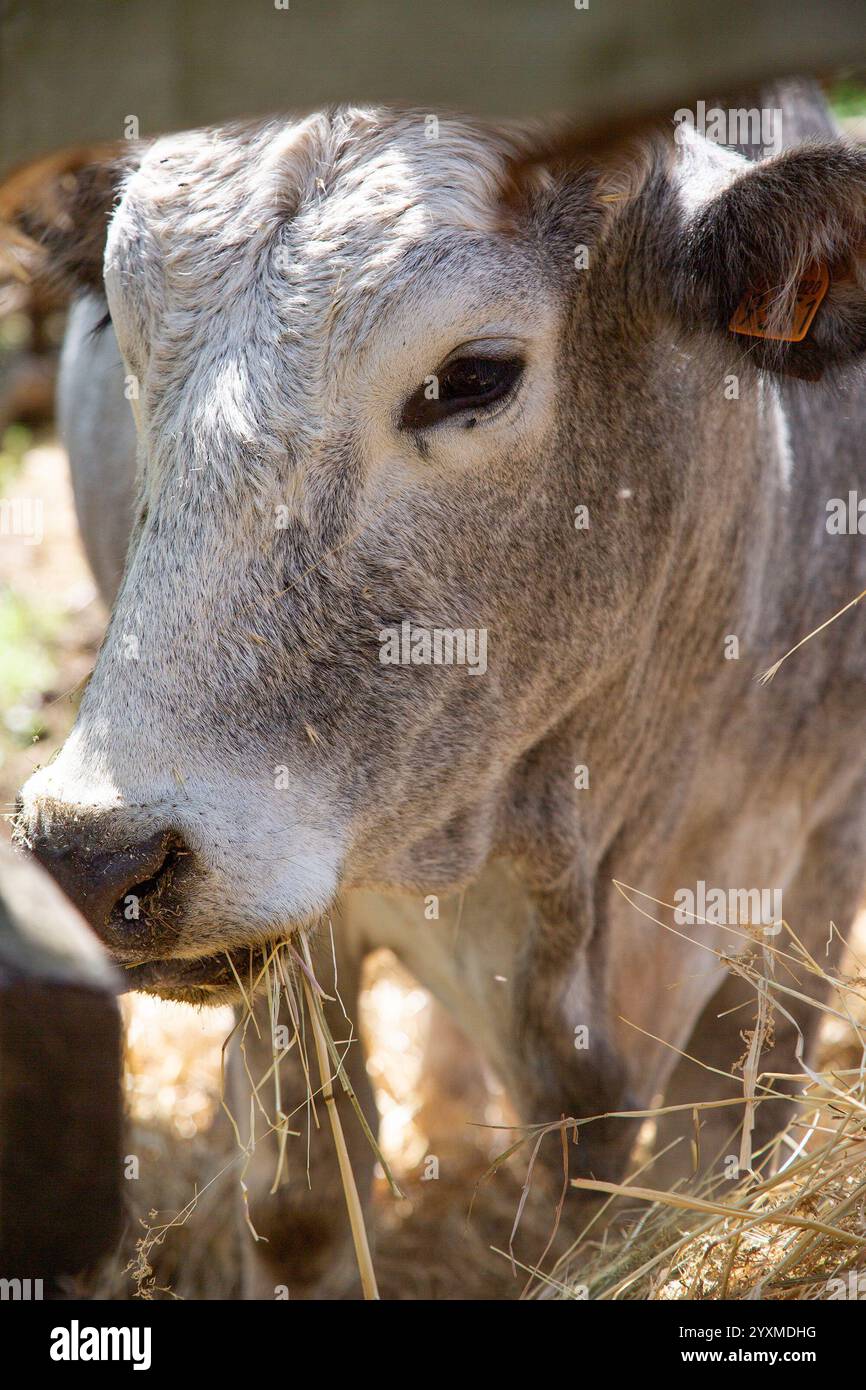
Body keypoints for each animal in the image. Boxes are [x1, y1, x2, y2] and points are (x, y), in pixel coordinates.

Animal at [8, 81, 866, 1297]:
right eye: (125, 344)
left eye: (472, 377)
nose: (95, 857)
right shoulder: (302, 929)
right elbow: (305, 1201)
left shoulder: (814, 863)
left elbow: (713, 1165)